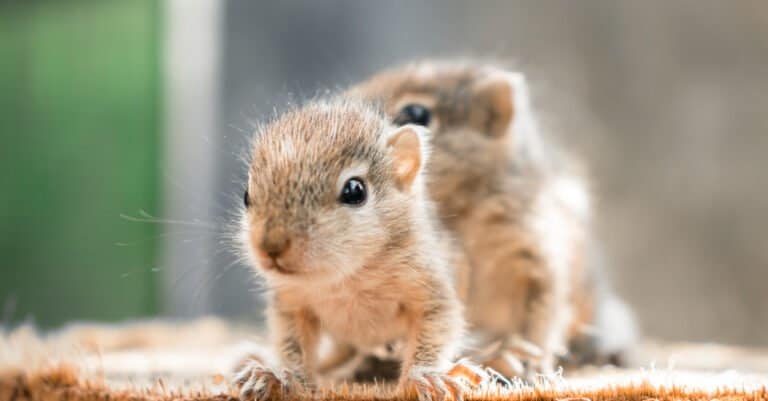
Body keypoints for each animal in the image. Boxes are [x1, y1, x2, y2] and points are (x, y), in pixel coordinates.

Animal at [232, 98, 488, 401]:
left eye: (355, 191)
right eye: (246, 195)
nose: (270, 246)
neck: (348, 274)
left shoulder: (430, 289)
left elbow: (436, 328)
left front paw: (424, 378)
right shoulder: (292, 302)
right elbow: (292, 343)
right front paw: (282, 377)